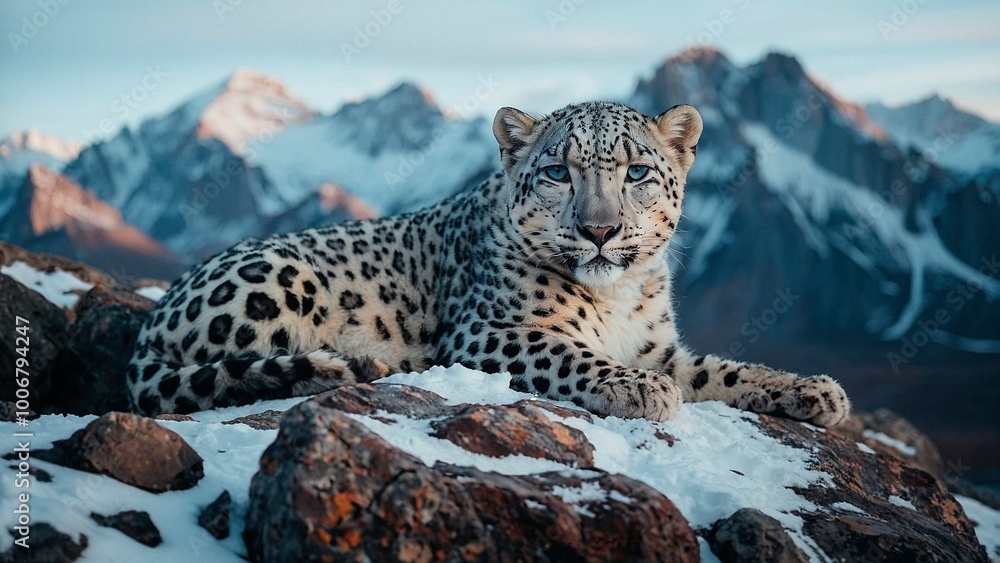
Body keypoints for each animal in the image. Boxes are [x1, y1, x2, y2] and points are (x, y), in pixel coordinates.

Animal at [126, 101, 850, 426]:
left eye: (638, 172)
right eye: (558, 172)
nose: (599, 229)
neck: (617, 298)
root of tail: (151, 323)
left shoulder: (659, 346)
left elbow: (724, 370)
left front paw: (816, 390)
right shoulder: (485, 331)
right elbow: (570, 354)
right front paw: (636, 389)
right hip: (280, 280)